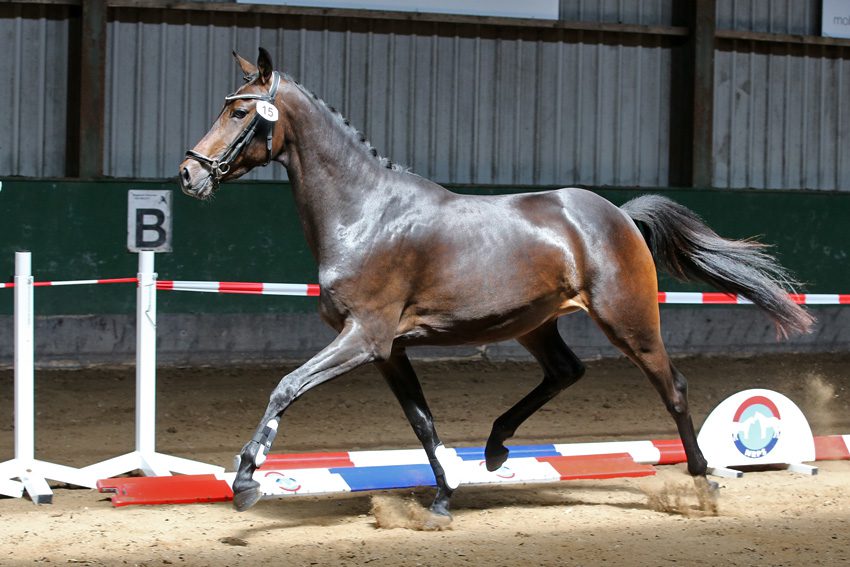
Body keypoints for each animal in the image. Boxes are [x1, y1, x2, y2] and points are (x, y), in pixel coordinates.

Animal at [179, 48, 813, 521]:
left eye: (239, 113)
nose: (188, 174)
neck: (364, 213)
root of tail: (619, 215)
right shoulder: (388, 349)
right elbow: (422, 421)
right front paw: (442, 498)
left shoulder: (364, 337)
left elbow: (286, 387)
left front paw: (246, 481)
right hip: (535, 324)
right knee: (565, 372)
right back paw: (494, 447)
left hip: (628, 320)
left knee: (673, 387)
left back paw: (704, 485)